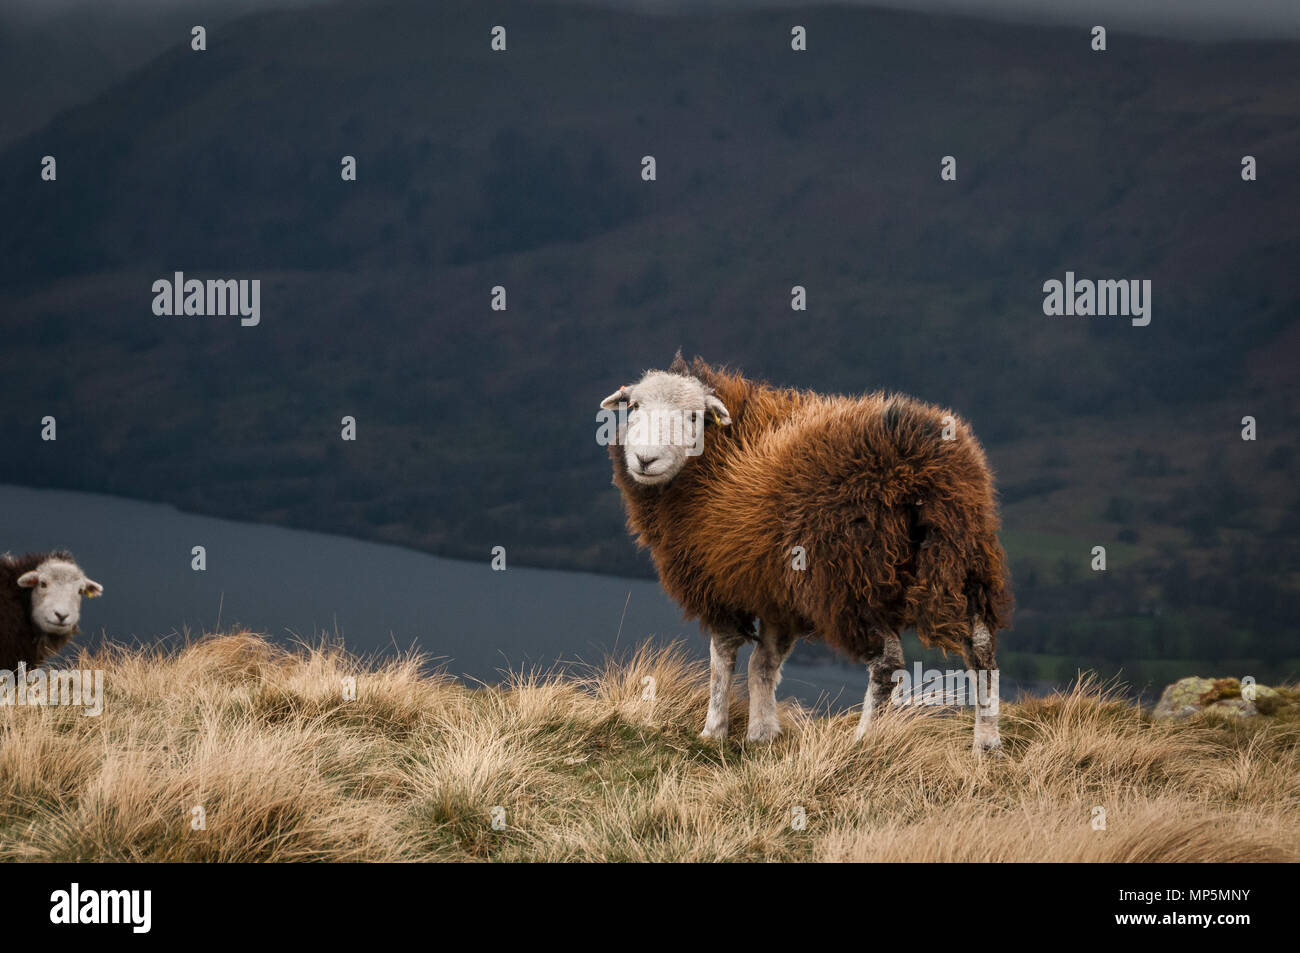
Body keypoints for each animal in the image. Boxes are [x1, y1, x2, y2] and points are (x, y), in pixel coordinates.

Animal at [600, 354, 1012, 751]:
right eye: (634, 406)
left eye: (694, 416)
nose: (645, 460)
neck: (713, 461)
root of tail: (919, 467)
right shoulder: (776, 595)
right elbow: (763, 664)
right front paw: (762, 734)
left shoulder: (716, 585)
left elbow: (723, 661)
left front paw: (713, 732)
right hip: (963, 561)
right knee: (981, 650)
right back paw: (986, 743)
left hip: (851, 579)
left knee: (886, 663)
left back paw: (863, 744)